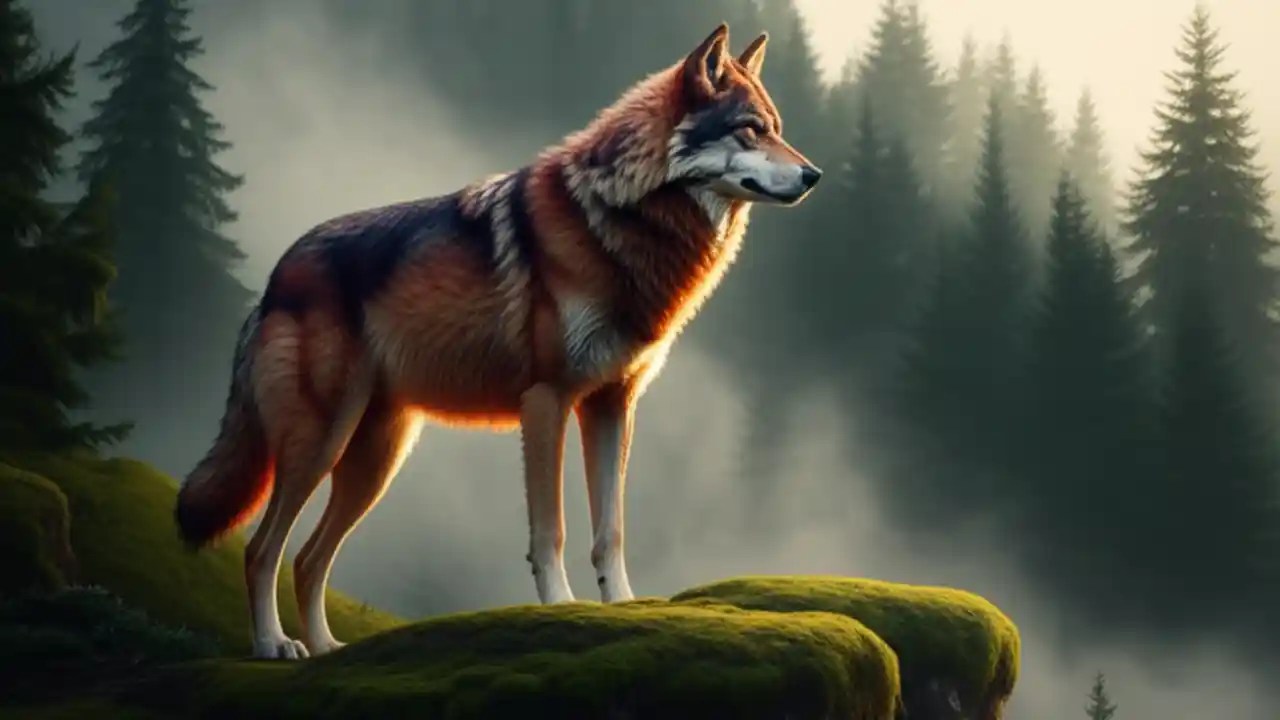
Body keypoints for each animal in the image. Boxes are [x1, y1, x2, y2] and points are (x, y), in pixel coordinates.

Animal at [176, 23, 821, 659]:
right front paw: (561, 607)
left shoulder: (612, 404)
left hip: (375, 462)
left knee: (308, 561)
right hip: (320, 445)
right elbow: (551, 529)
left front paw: (625, 606)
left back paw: (327, 648)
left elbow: (610, 530)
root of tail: (272, 281)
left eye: (777, 129)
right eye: (750, 129)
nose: (813, 175)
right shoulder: (547, 400)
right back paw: (273, 644)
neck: (629, 218)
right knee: (262, 550)